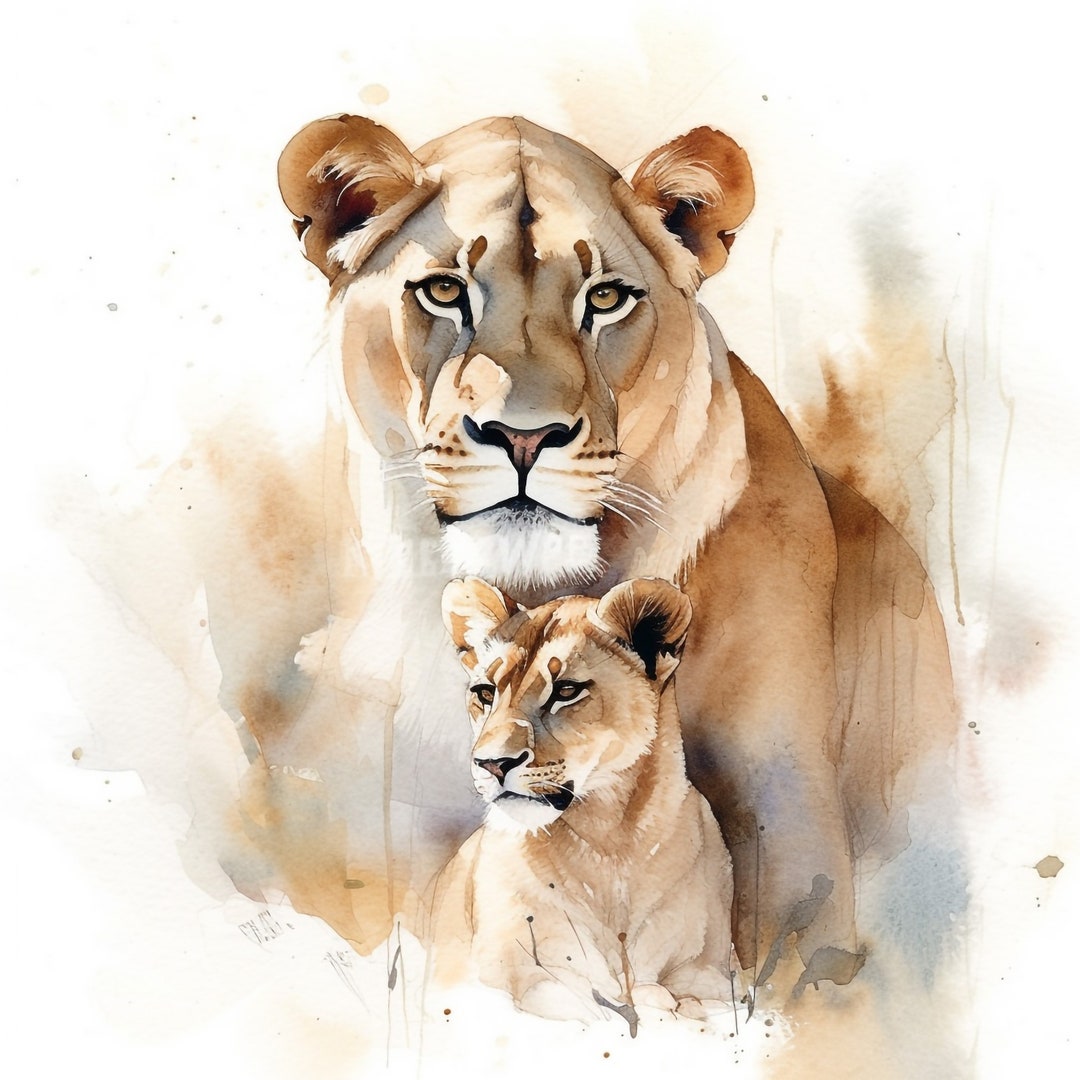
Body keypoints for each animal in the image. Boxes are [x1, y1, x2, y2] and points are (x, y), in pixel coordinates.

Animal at [433, 576, 734, 1026]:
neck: (611, 842)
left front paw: (665, 1004)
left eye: (566, 691)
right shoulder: (504, 974)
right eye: (485, 692)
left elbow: (700, 998)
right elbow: (577, 1004)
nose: (492, 763)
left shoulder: (712, 972)